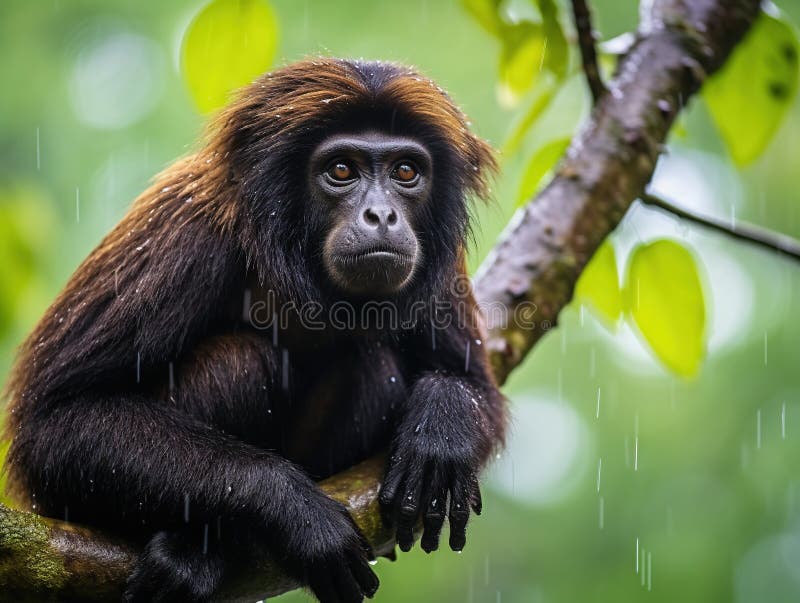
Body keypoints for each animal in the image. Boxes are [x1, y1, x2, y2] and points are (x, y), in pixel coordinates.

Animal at [2, 58, 507, 602]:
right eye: (341, 170)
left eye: (406, 172)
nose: (382, 215)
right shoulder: (188, 228)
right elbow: (54, 421)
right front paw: (296, 511)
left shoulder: (442, 259)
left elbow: (478, 388)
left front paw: (442, 426)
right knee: (242, 360)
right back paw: (194, 549)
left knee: (372, 365)